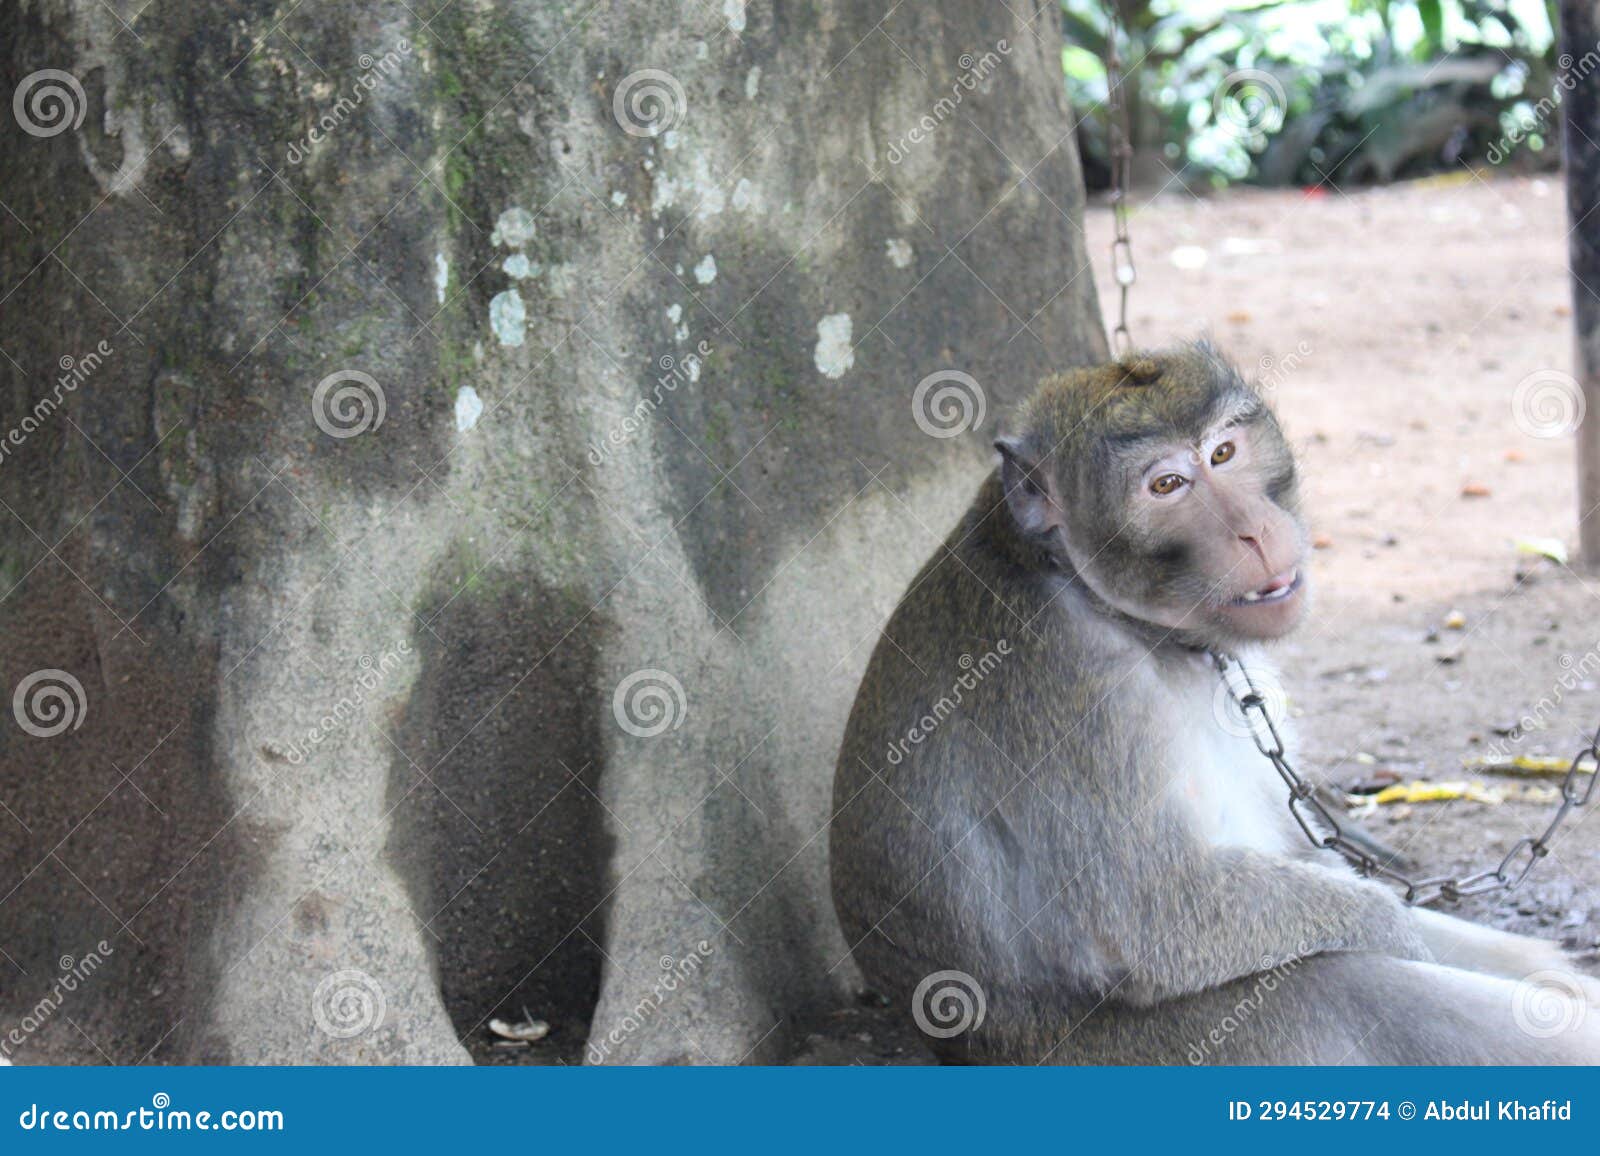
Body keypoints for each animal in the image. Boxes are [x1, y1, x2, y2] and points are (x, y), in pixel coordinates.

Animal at [829, 341, 1600, 1065]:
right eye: (1166, 484)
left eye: (1224, 452)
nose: (1254, 529)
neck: (1100, 599)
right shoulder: (1071, 685)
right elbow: (1154, 915)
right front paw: (1399, 932)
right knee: (1345, 986)